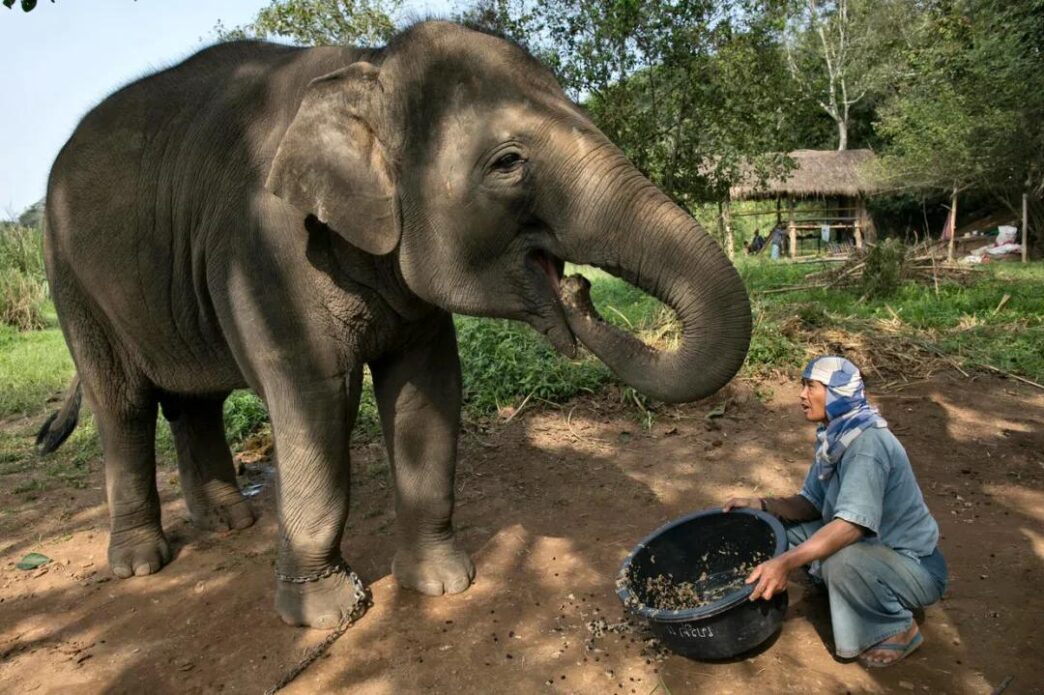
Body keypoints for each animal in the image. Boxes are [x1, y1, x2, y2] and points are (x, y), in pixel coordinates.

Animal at [38, 21, 751, 629]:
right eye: (508, 162)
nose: (578, 291)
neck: (368, 68)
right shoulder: (266, 249)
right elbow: (315, 397)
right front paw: (326, 614)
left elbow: (427, 387)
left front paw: (442, 583)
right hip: (68, 276)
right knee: (123, 404)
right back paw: (140, 562)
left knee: (195, 400)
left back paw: (230, 522)